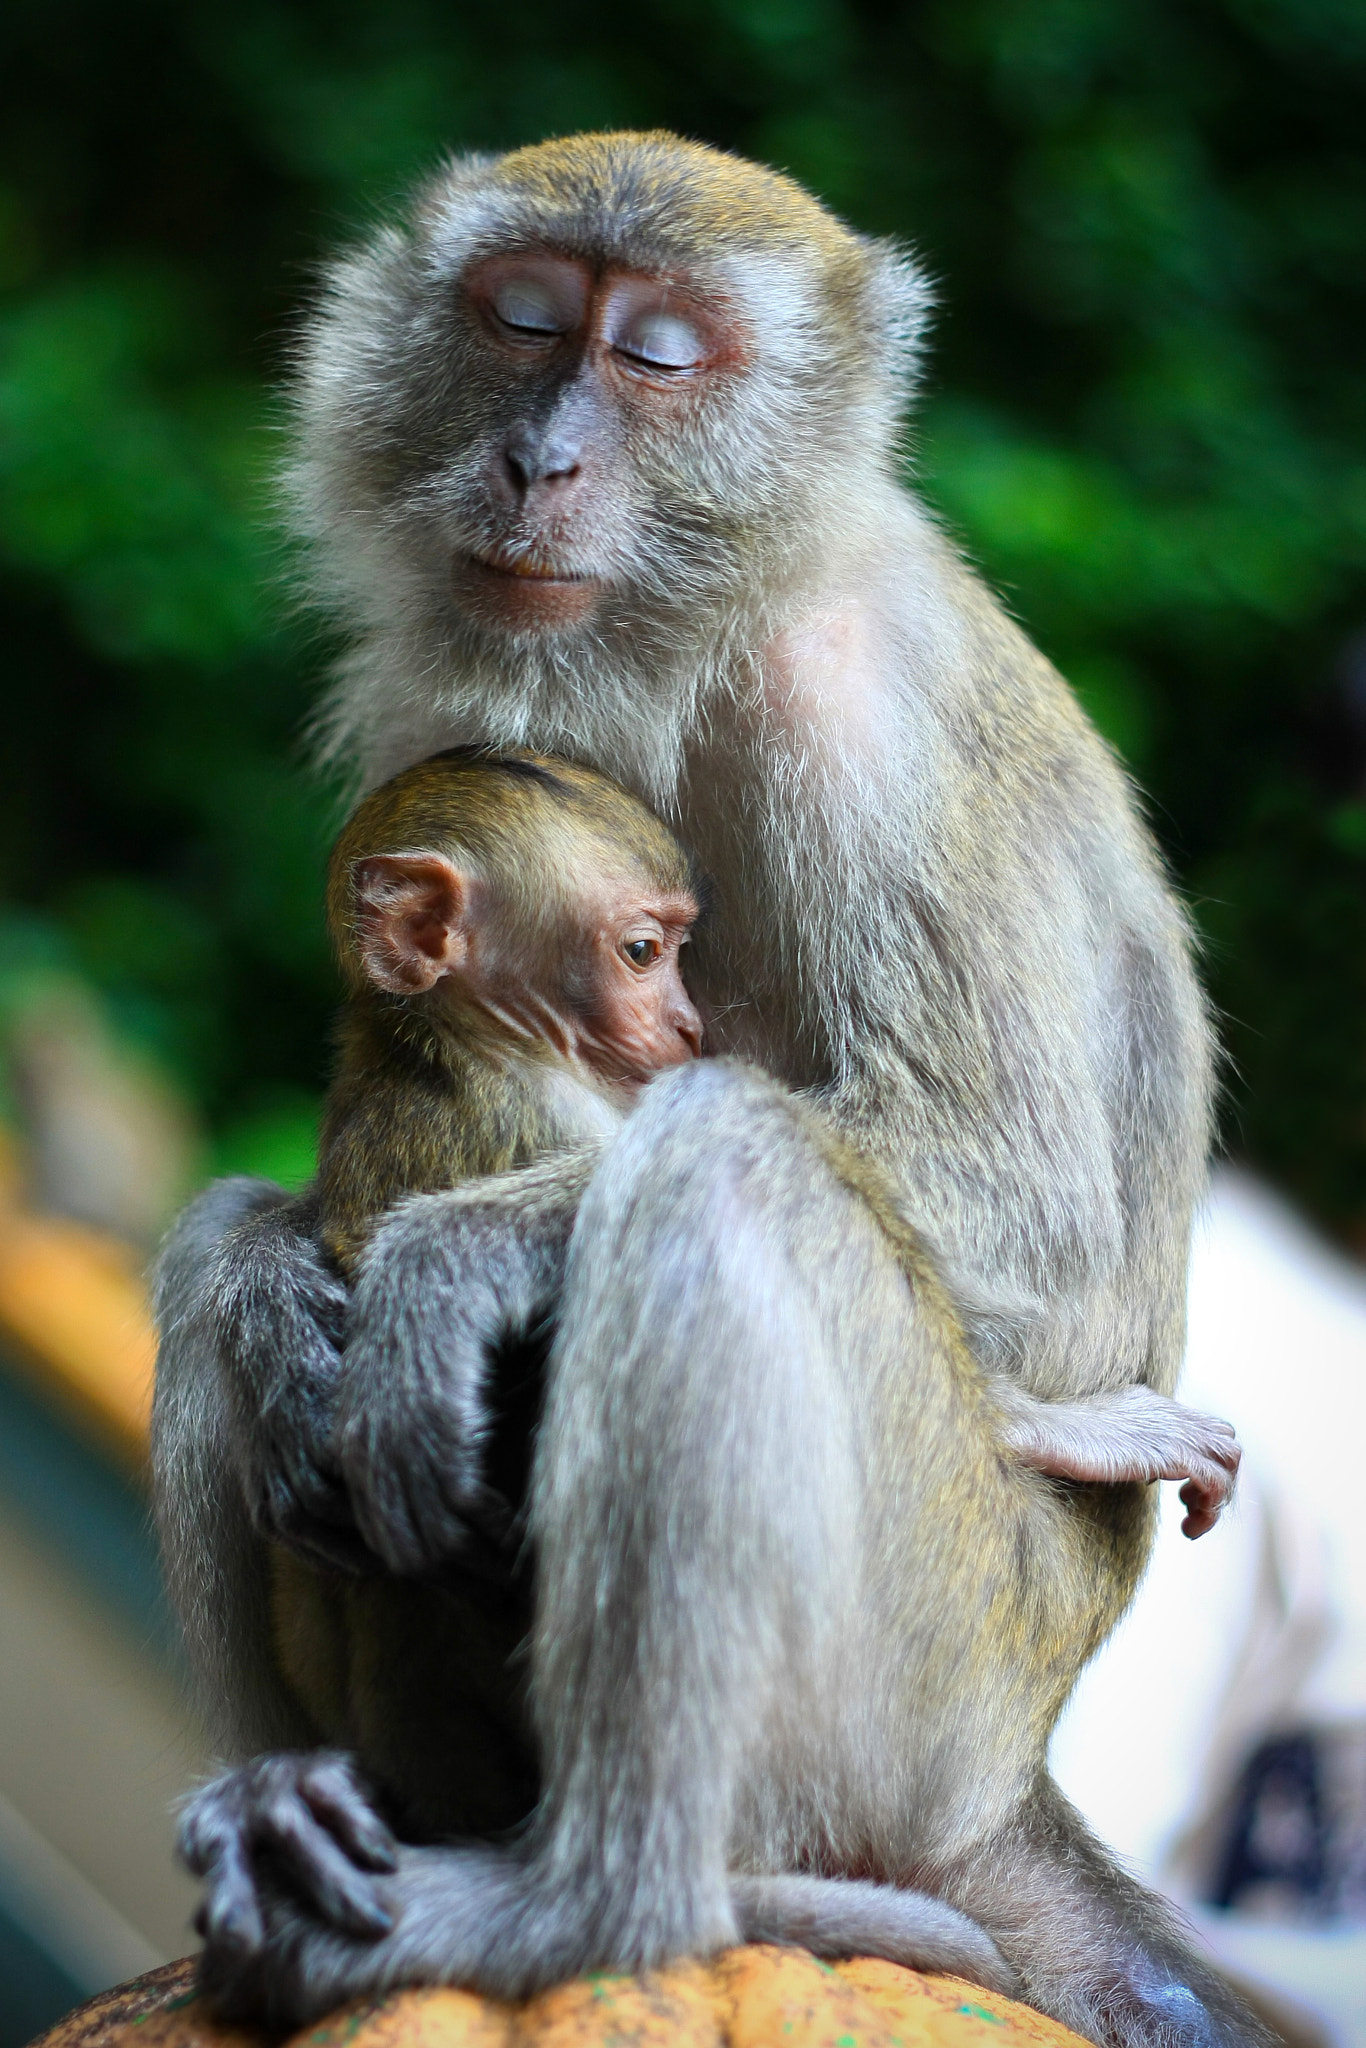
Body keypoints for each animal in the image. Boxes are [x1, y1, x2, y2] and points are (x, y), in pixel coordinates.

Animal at [152, 132, 1265, 2047]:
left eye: (659, 356)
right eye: (524, 318)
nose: (540, 456)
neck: (700, 630)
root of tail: (1016, 1786)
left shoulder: (854, 716)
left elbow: (1030, 1219)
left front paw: (444, 1264)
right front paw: (303, 1291)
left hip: (925, 1686)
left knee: (731, 1161)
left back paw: (588, 1898)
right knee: (215, 1237)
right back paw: (301, 1809)